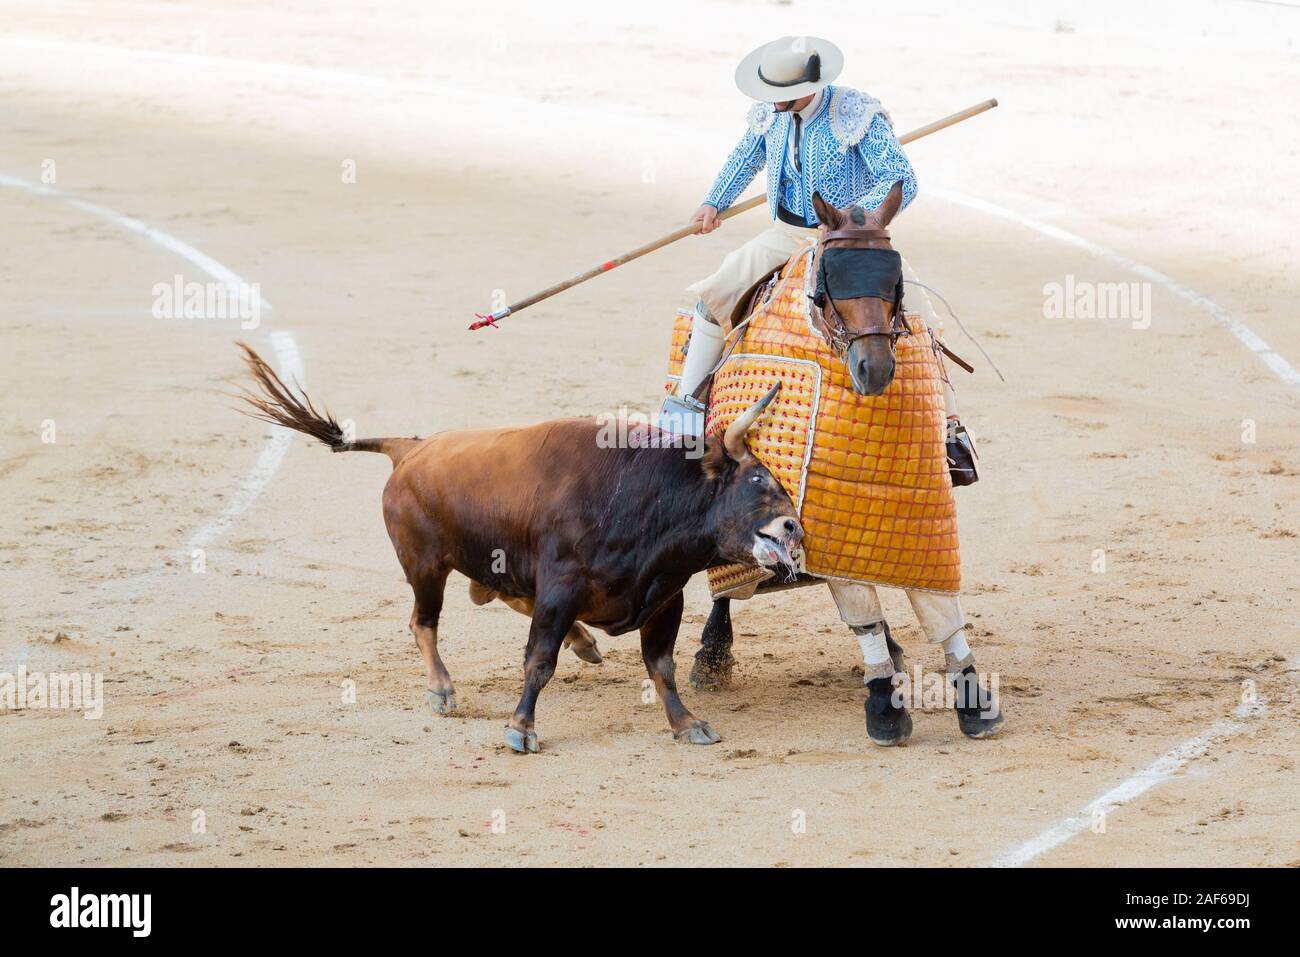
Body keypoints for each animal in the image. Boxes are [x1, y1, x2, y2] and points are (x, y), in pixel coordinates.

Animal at [236, 344, 802, 753]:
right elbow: (538, 661)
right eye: (757, 478)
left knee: (499, 597)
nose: (794, 527)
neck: (645, 497)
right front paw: (521, 728)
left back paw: (583, 642)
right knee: (424, 621)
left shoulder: (665, 596)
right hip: (424, 564)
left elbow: (660, 666)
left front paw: (687, 724)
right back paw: (442, 690)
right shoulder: (560, 588)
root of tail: (412, 448)